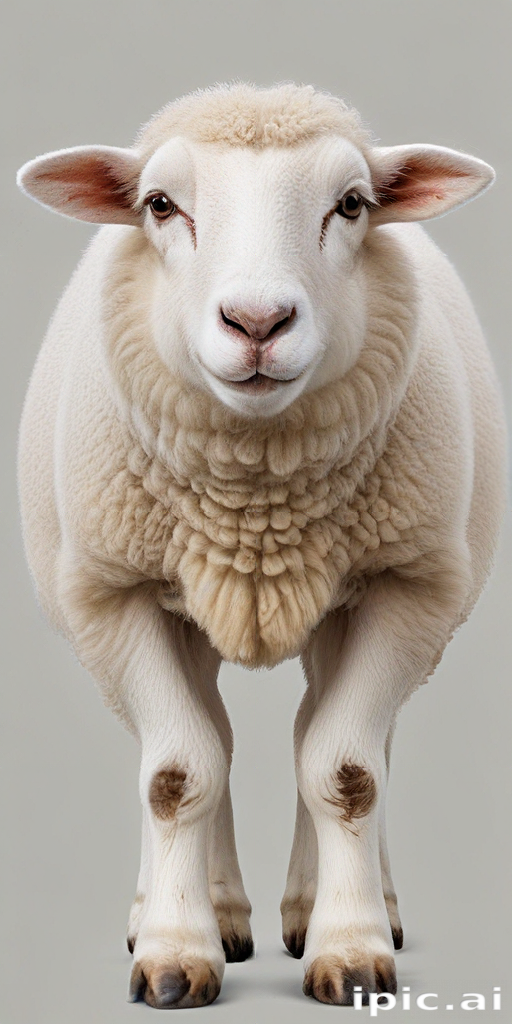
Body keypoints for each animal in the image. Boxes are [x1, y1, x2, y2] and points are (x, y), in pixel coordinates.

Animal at [17, 82, 506, 1009]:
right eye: (159, 205)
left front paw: (350, 950)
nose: (257, 320)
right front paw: (175, 955)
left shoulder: (408, 589)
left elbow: (346, 769)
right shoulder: (113, 596)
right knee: (205, 734)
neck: (256, 502)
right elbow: (177, 774)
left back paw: (332, 906)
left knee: (328, 729)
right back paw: (209, 911)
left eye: (351, 205)